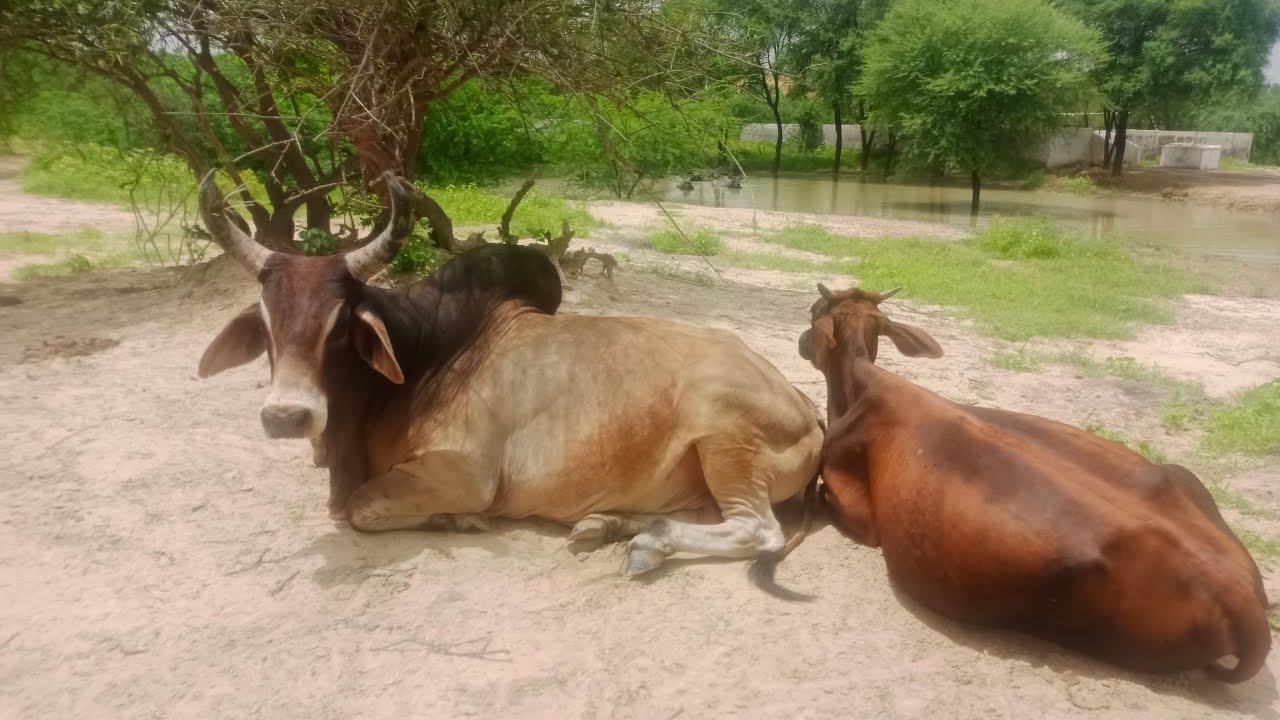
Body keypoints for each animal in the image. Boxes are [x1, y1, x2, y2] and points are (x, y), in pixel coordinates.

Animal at [194, 169, 824, 583]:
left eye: (340, 326)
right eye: (267, 325)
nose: (286, 416)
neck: (426, 356)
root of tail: (806, 409)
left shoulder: (461, 473)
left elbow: (361, 508)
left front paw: (459, 520)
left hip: (727, 440)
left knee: (756, 530)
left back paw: (648, 542)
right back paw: (608, 525)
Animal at [798, 282, 1271, 682]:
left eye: (813, 310)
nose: (803, 342)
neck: (858, 389)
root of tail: (1241, 599)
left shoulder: (855, 506)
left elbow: (823, 494)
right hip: (1181, 475)